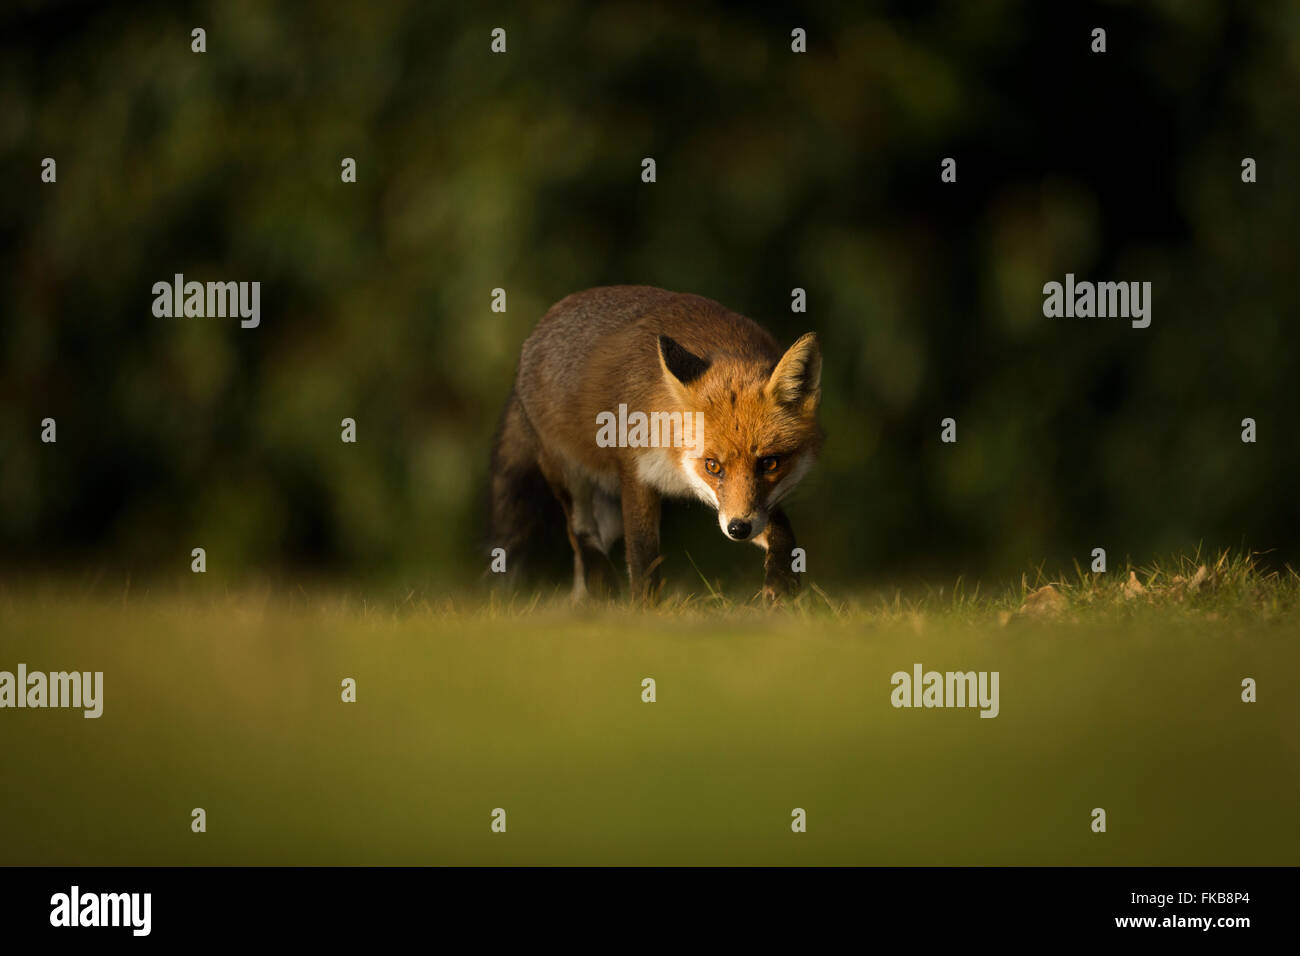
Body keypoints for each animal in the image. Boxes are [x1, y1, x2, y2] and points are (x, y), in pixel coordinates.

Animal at [490, 285, 823, 603]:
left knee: (582, 555)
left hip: (610, 511)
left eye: (769, 463)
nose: (739, 530)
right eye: (713, 466)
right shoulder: (638, 475)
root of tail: (538, 329)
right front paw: (644, 610)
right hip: (568, 474)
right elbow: (642, 558)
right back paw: (601, 586)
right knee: (579, 530)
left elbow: (781, 530)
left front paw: (781, 583)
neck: (674, 456)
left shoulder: (728, 506)